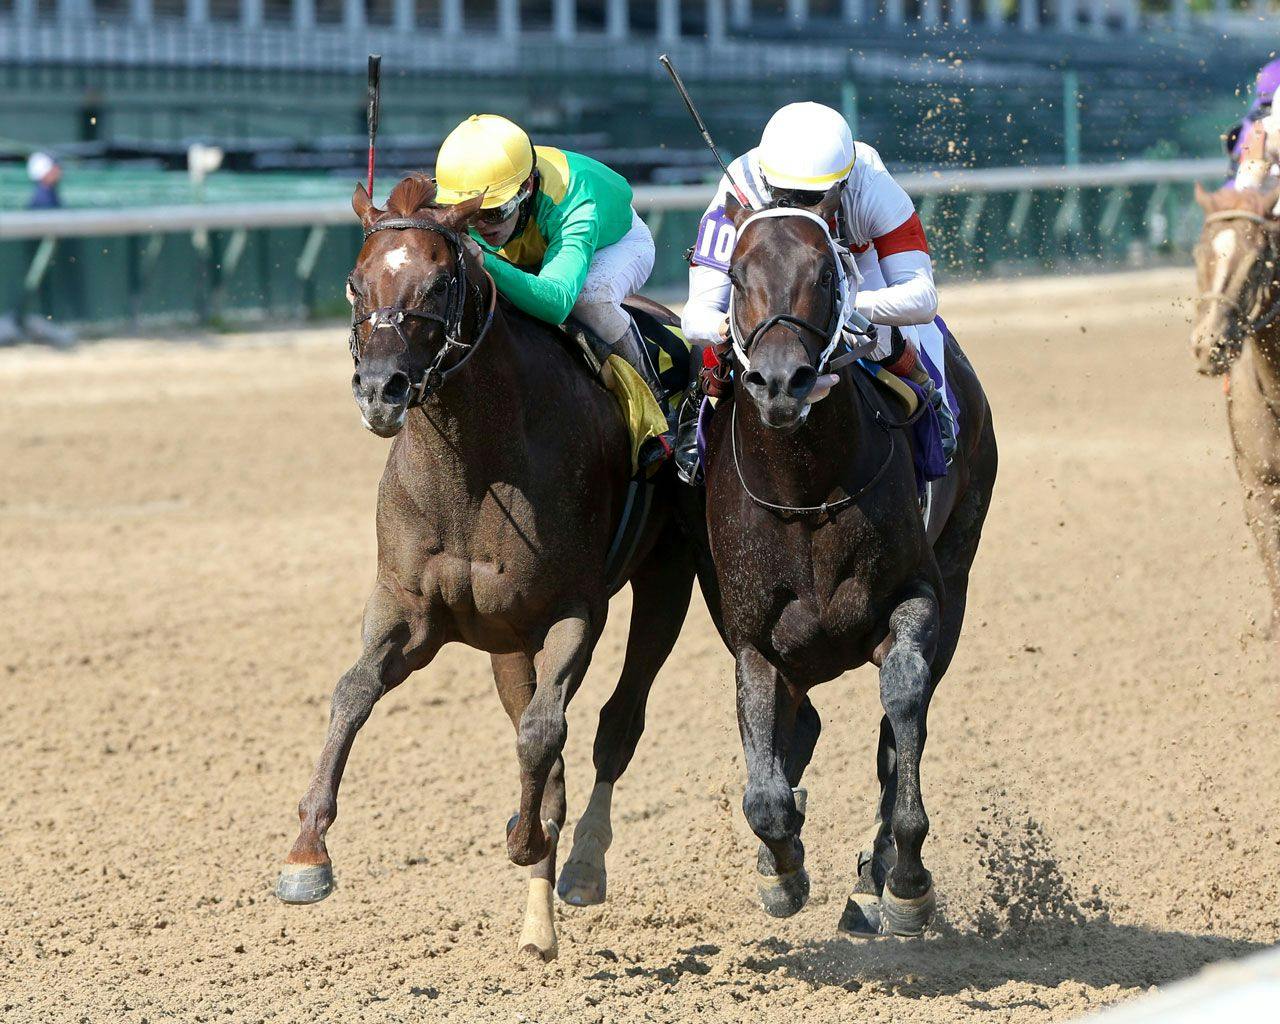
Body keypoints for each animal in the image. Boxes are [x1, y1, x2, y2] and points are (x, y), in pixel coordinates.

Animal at [273, 175, 700, 960]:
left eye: (442, 281)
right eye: (353, 282)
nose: (379, 389)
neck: (473, 465)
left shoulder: (574, 610)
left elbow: (543, 734)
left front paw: (527, 837)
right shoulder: (410, 609)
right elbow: (352, 692)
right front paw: (306, 853)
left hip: (668, 578)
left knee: (617, 722)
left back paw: (582, 864)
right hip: (508, 641)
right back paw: (539, 922)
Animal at [700, 190, 998, 936]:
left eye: (827, 274)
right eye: (736, 275)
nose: (781, 381)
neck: (805, 490)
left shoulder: (915, 595)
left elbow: (904, 701)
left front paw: (904, 876)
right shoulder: (753, 637)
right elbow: (766, 787)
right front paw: (780, 870)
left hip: (959, 569)